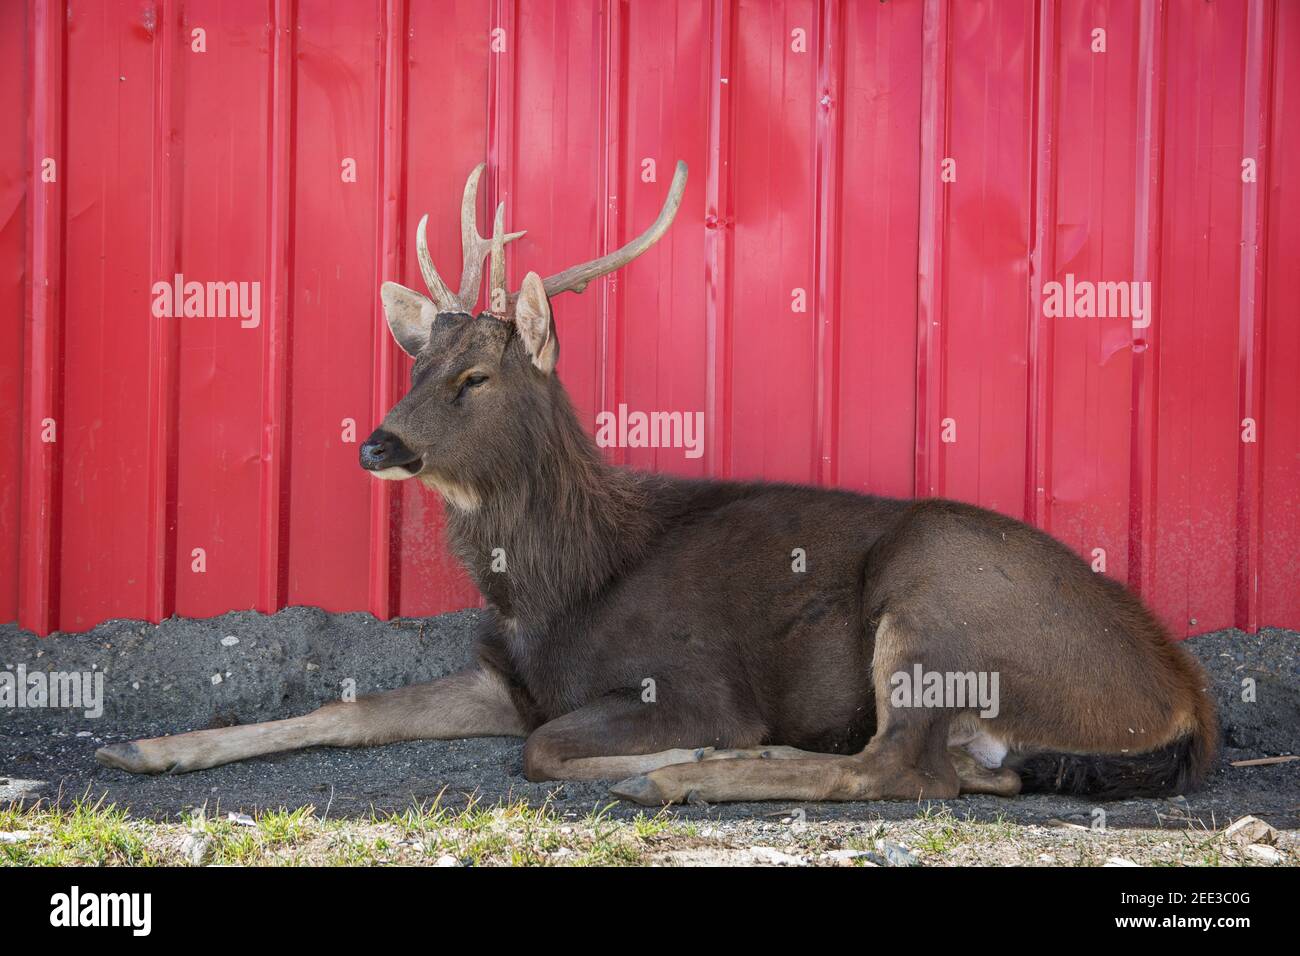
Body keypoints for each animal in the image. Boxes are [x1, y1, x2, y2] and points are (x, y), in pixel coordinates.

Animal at [97, 161, 1219, 806]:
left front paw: (675, 758)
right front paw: (144, 750)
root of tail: (1188, 701)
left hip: (936, 594)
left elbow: (544, 749)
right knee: (955, 769)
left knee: (897, 766)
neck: (557, 587)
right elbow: (346, 711)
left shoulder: (689, 681)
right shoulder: (503, 675)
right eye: (414, 364)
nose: (376, 444)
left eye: (476, 376)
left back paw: (681, 776)